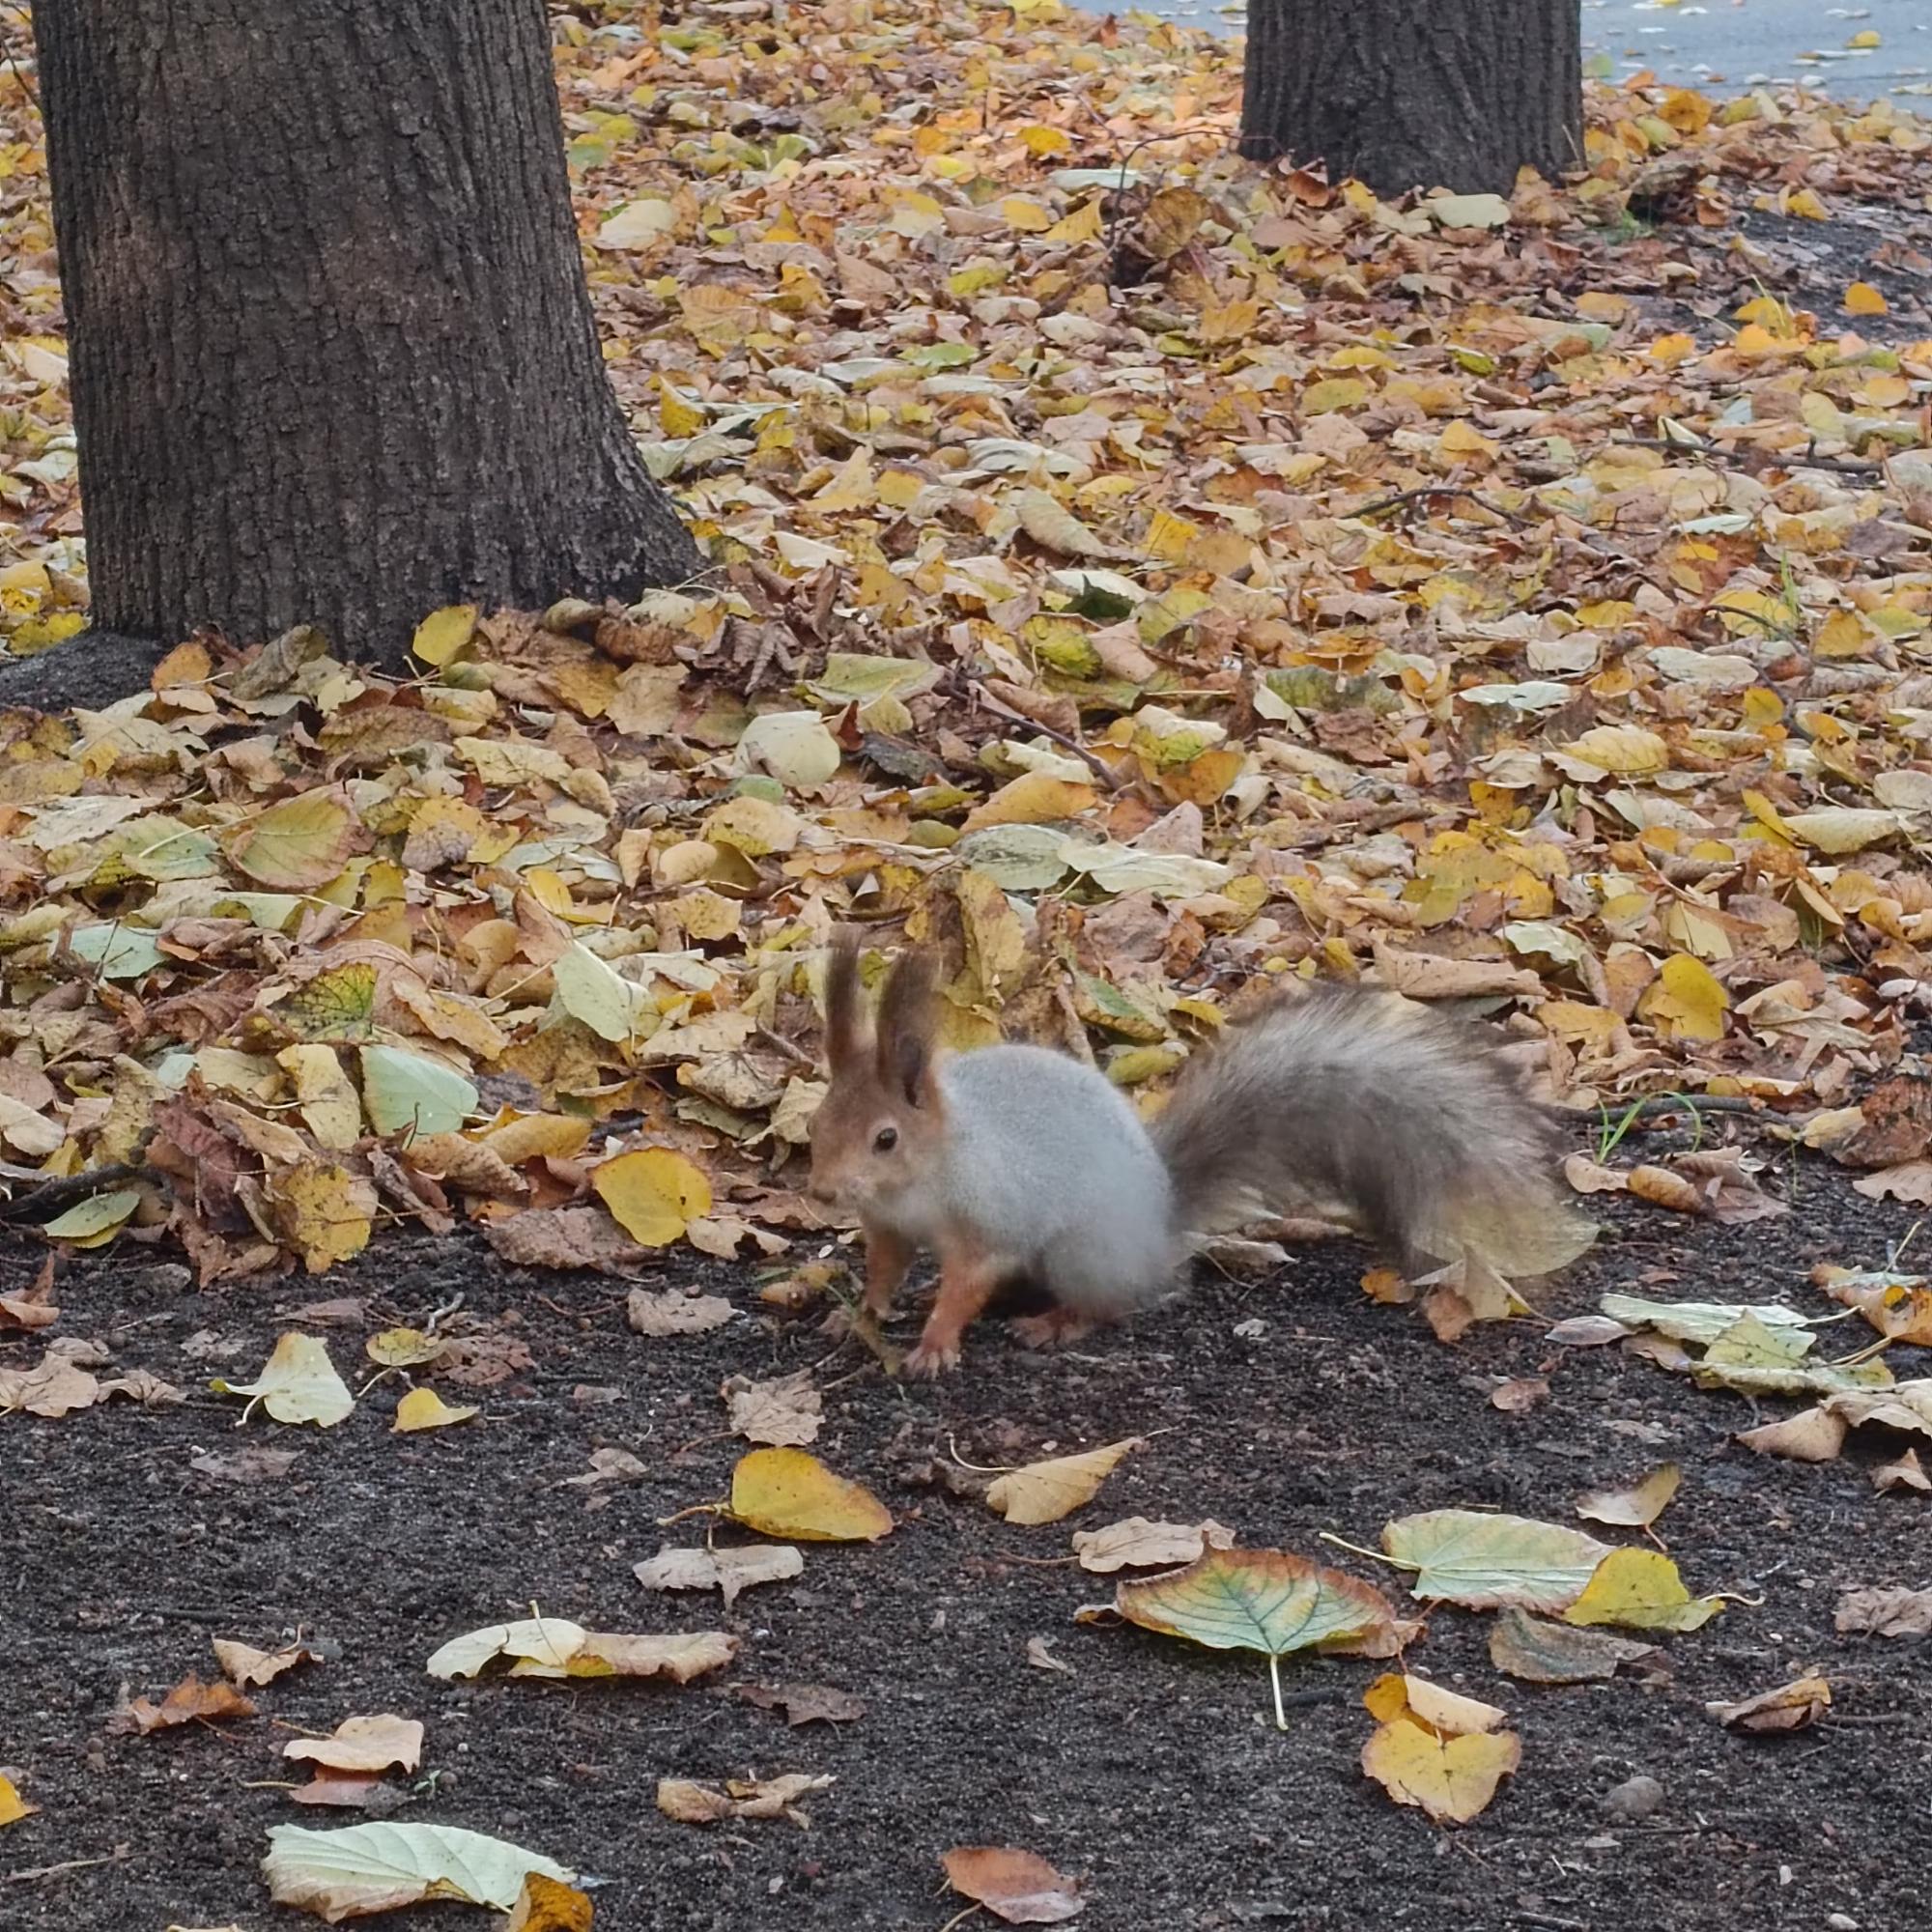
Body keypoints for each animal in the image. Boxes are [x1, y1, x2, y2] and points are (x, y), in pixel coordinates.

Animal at [800, 931, 1584, 1376]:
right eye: (815, 1123)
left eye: (885, 1138)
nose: (822, 1192)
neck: (923, 1177)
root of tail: (1159, 1220)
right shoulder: (889, 1227)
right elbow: (885, 1266)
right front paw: (864, 1313)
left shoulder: (990, 1214)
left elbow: (968, 1279)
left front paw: (935, 1342)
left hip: (1082, 1254)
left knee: (1122, 1302)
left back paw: (1054, 1323)